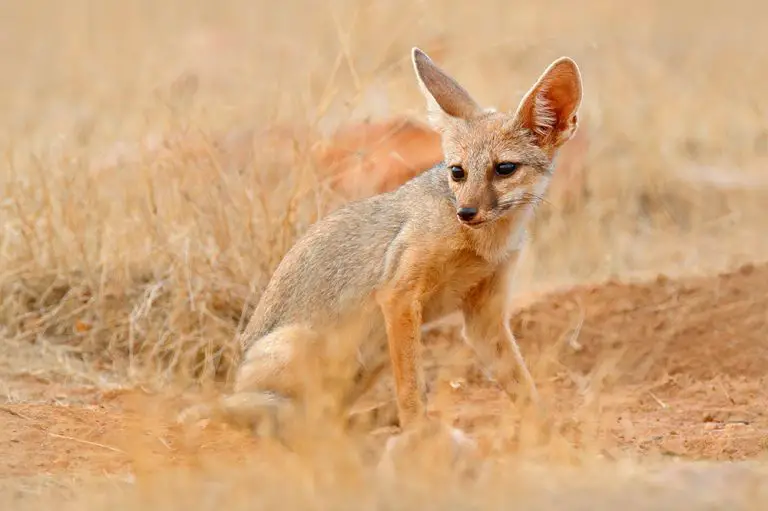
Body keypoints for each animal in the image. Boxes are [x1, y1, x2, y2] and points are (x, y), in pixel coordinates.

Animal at [180, 47, 583, 446]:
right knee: (292, 418)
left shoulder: (483, 318)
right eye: (457, 172)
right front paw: (418, 435)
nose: (466, 212)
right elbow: (410, 387)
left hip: (368, 359)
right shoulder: (399, 297)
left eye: (504, 169)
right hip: (308, 346)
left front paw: (547, 433)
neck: (483, 244)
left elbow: (521, 383)